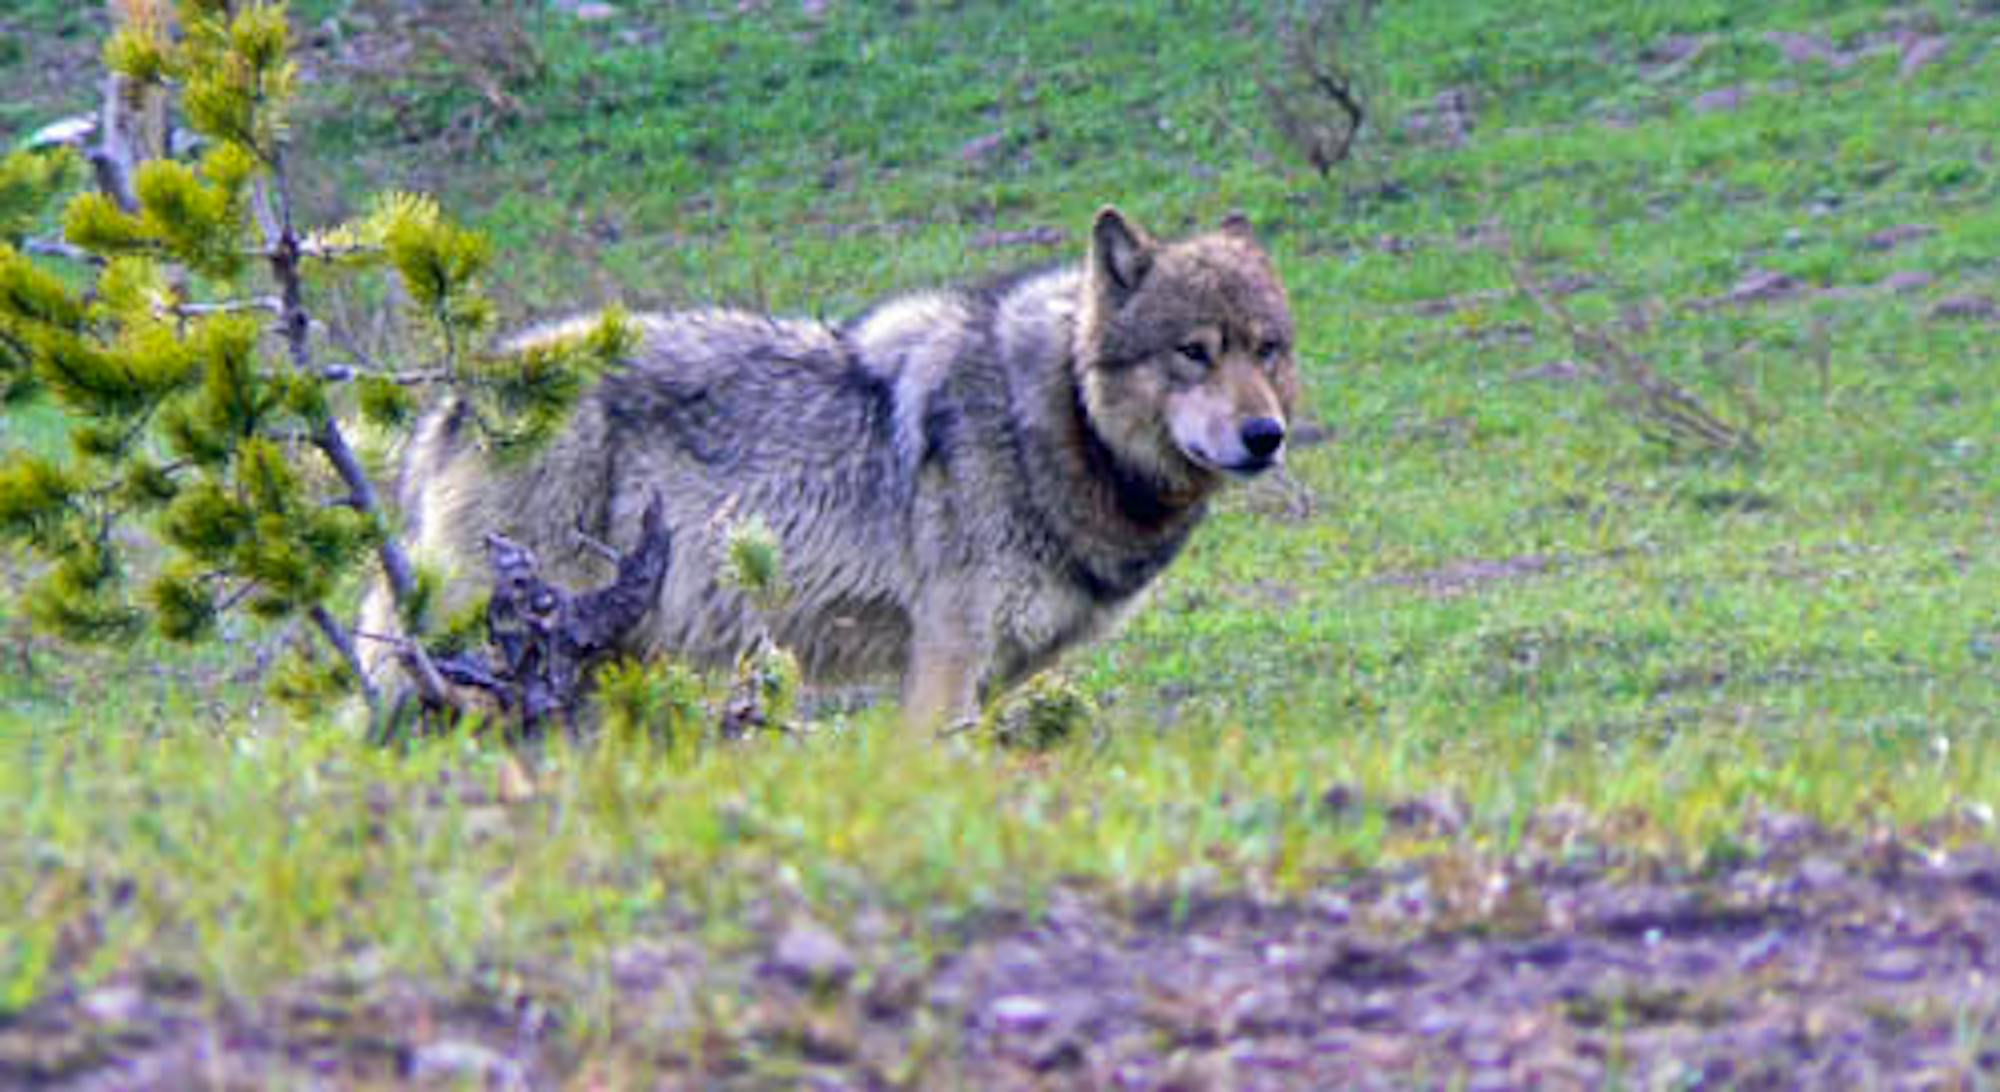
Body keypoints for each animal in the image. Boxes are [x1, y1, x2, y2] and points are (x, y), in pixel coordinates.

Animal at [360, 207, 1301, 730]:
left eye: (1266, 349)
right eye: (1193, 353)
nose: (1267, 435)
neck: (1056, 417)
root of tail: (456, 398)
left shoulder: (1002, 673)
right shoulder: (947, 660)